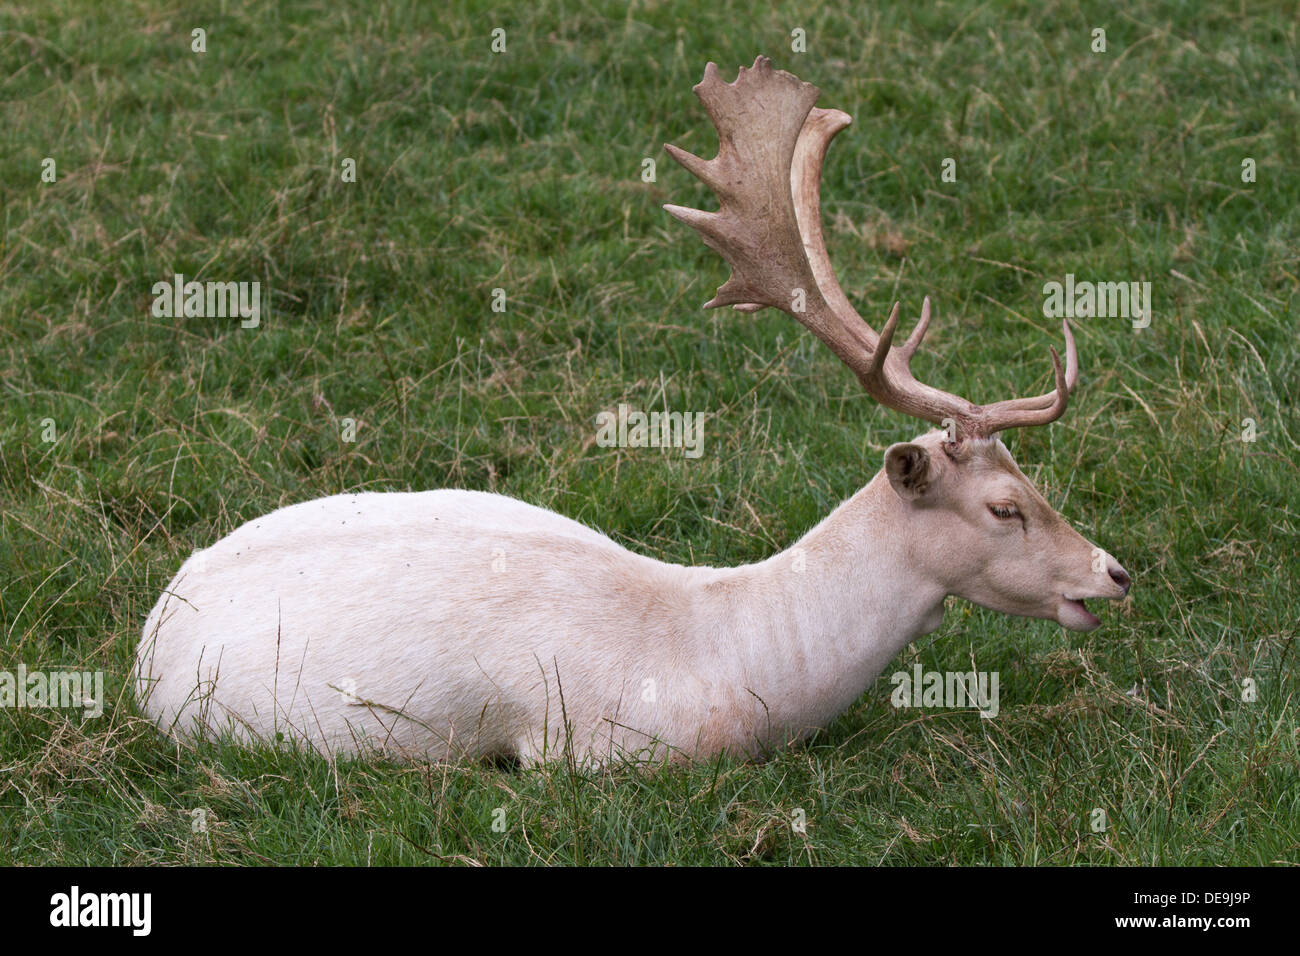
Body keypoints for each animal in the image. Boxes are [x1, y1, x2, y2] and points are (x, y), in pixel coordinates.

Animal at [134, 56, 1131, 768]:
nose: (1115, 573)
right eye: (1005, 508)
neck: (731, 657)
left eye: (1033, 481)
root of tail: (147, 641)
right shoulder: (590, 749)